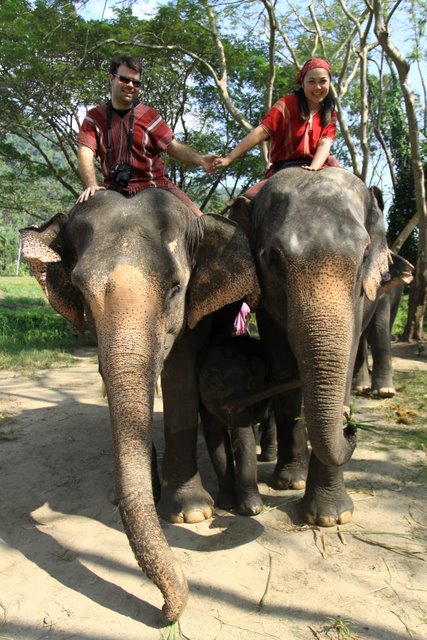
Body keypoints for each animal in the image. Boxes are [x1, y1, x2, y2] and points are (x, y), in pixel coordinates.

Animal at [20, 188, 259, 622]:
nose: (165, 611)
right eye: (80, 290)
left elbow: (180, 374)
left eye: (175, 288)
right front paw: (127, 494)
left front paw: (190, 513)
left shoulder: (193, 313)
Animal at [229, 166, 403, 528]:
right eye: (272, 257)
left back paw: (378, 393)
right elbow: (282, 365)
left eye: (364, 255)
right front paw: (288, 482)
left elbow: (346, 354)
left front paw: (330, 517)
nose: (351, 430)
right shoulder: (268, 302)